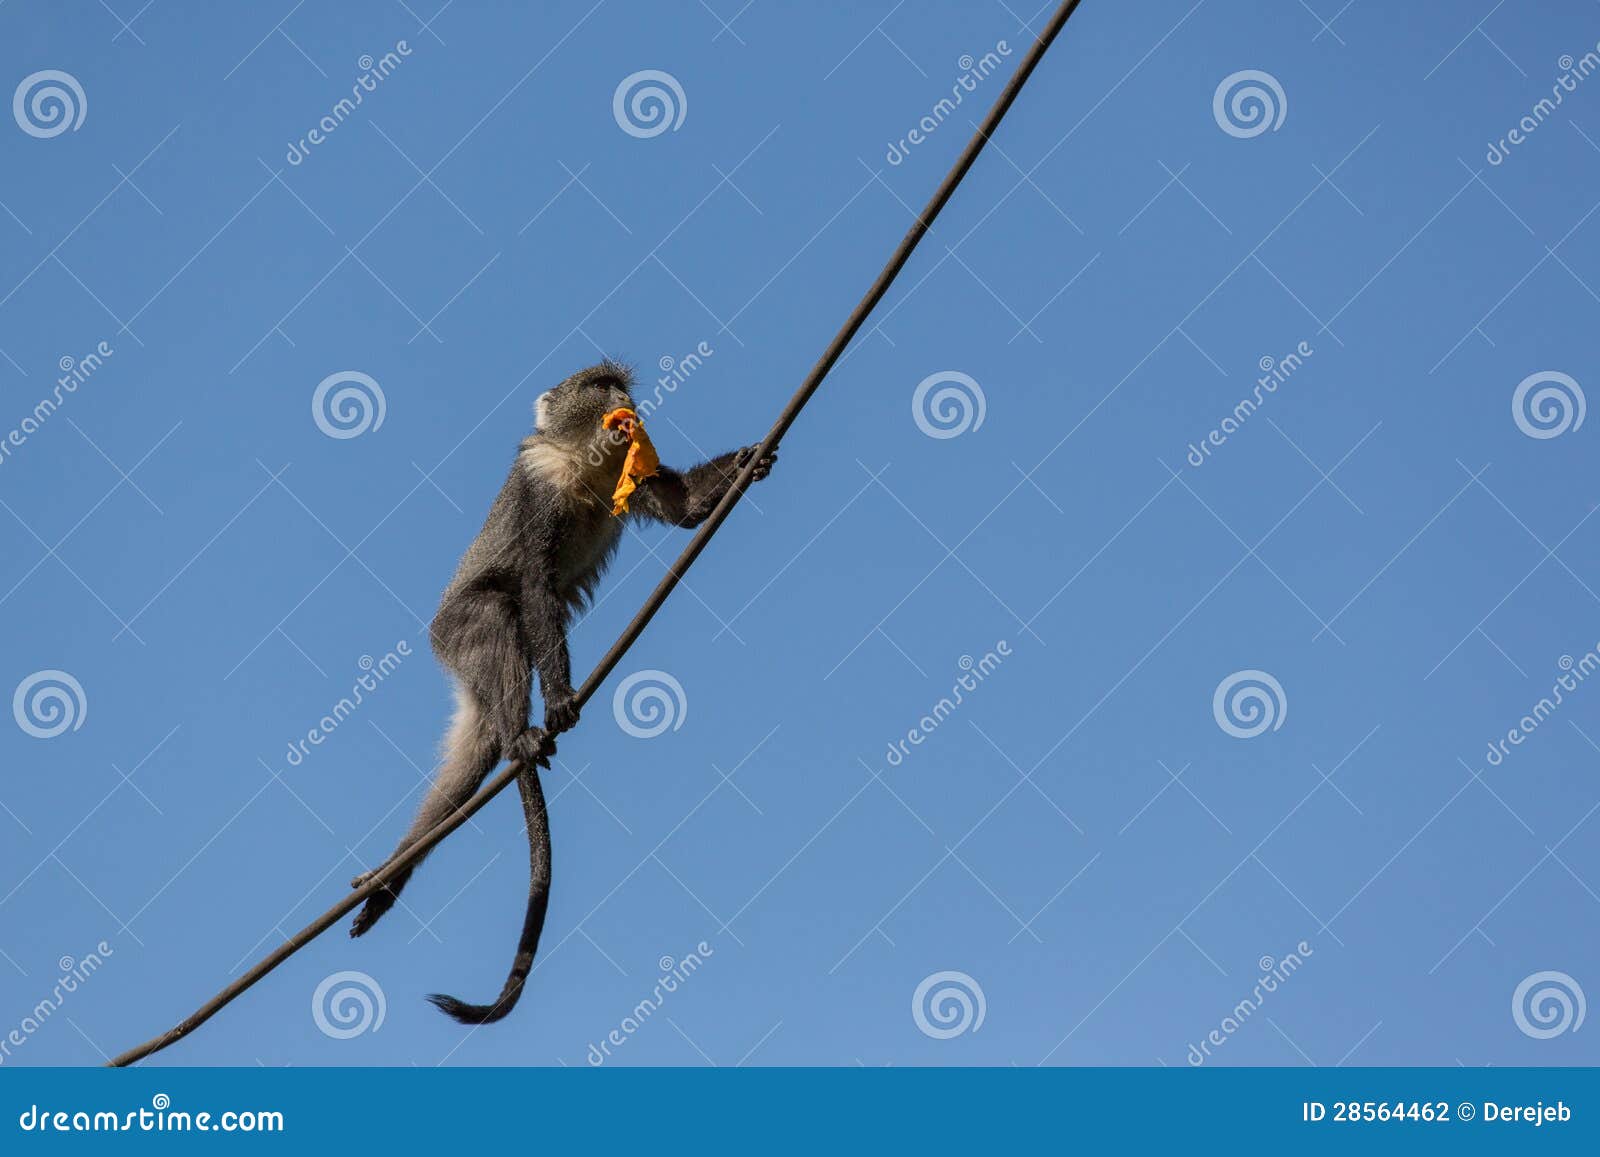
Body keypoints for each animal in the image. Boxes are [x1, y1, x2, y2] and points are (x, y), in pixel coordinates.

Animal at [347, 361, 775, 1023]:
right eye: (599, 385)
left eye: (618, 383)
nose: (624, 401)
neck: (586, 459)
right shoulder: (540, 482)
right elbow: (536, 583)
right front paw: (560, 698)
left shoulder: (632, 471)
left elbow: (683, 510)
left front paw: (752, 458)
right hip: (461, 630)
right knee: (501, 613)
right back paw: (523, 735)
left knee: (474, 758)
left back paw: (387, 883)